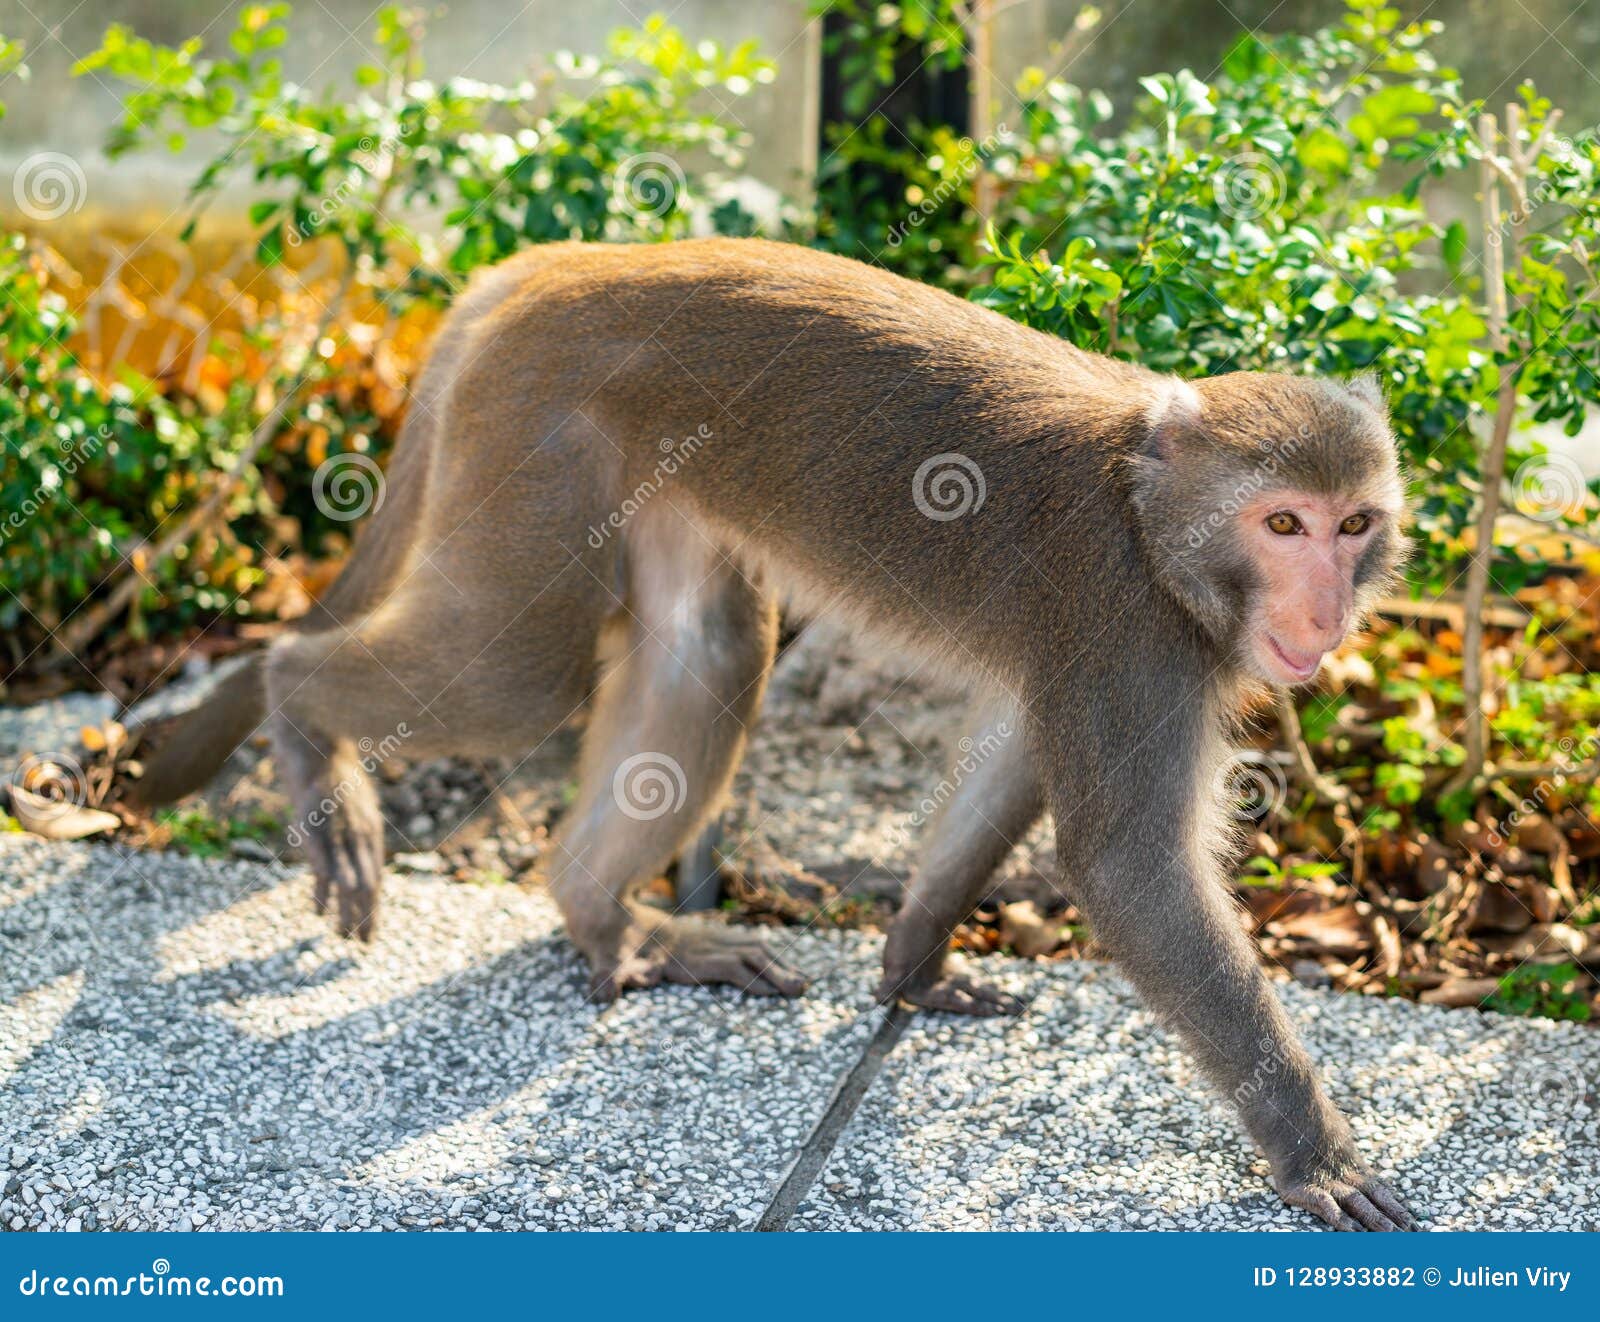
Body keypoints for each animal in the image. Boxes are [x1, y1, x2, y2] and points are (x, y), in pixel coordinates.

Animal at [129, 237, 1415, 1231]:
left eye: (1354, 523)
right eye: (1283, 523)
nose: (1324, 610)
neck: (1149, 516)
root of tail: (554, 264)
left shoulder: (1087, 645)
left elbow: (1010, 750)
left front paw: (915, 957)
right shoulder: (1129, 624)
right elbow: (1127, 867)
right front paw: (1315, 1153)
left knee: (707, 648)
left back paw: (606, 918)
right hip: (536, 435)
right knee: (514, 667)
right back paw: (298, 716)